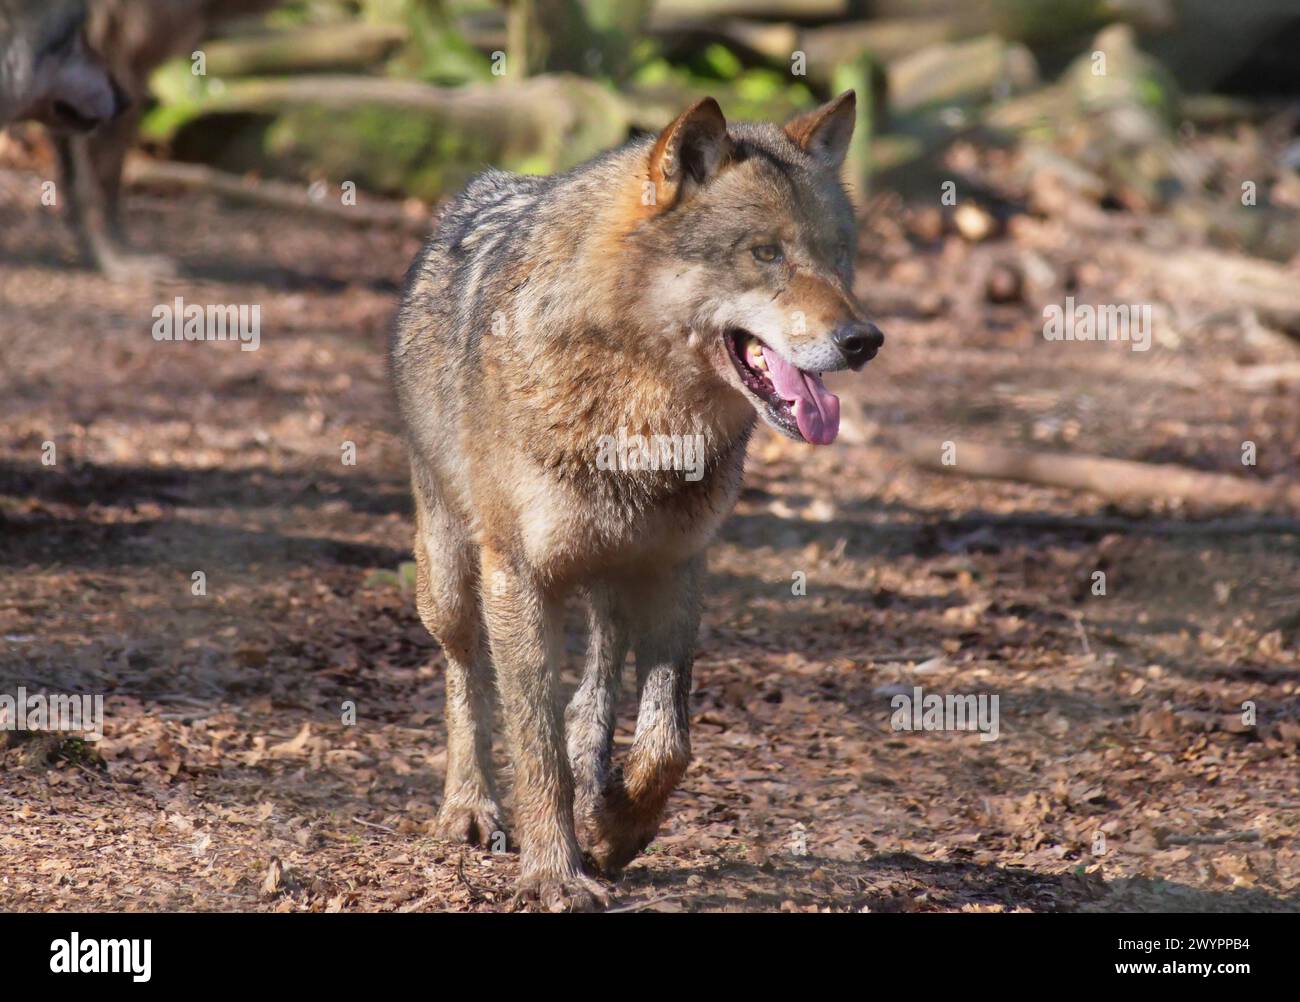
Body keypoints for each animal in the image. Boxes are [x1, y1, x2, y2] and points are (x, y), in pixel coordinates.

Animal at [390, 92, 883, 911]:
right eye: (766, 253)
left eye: (839, 255)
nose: (864, 340)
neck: (642, 414)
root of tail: (481, 186)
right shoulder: (518, 577)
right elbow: (536, 746)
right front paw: (555, 872)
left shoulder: (676, 565)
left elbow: (668, 740)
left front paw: (617, 827)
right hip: (452, 580)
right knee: (466, 675)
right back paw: (470, 807)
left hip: (611, 573)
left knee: (598, 680)